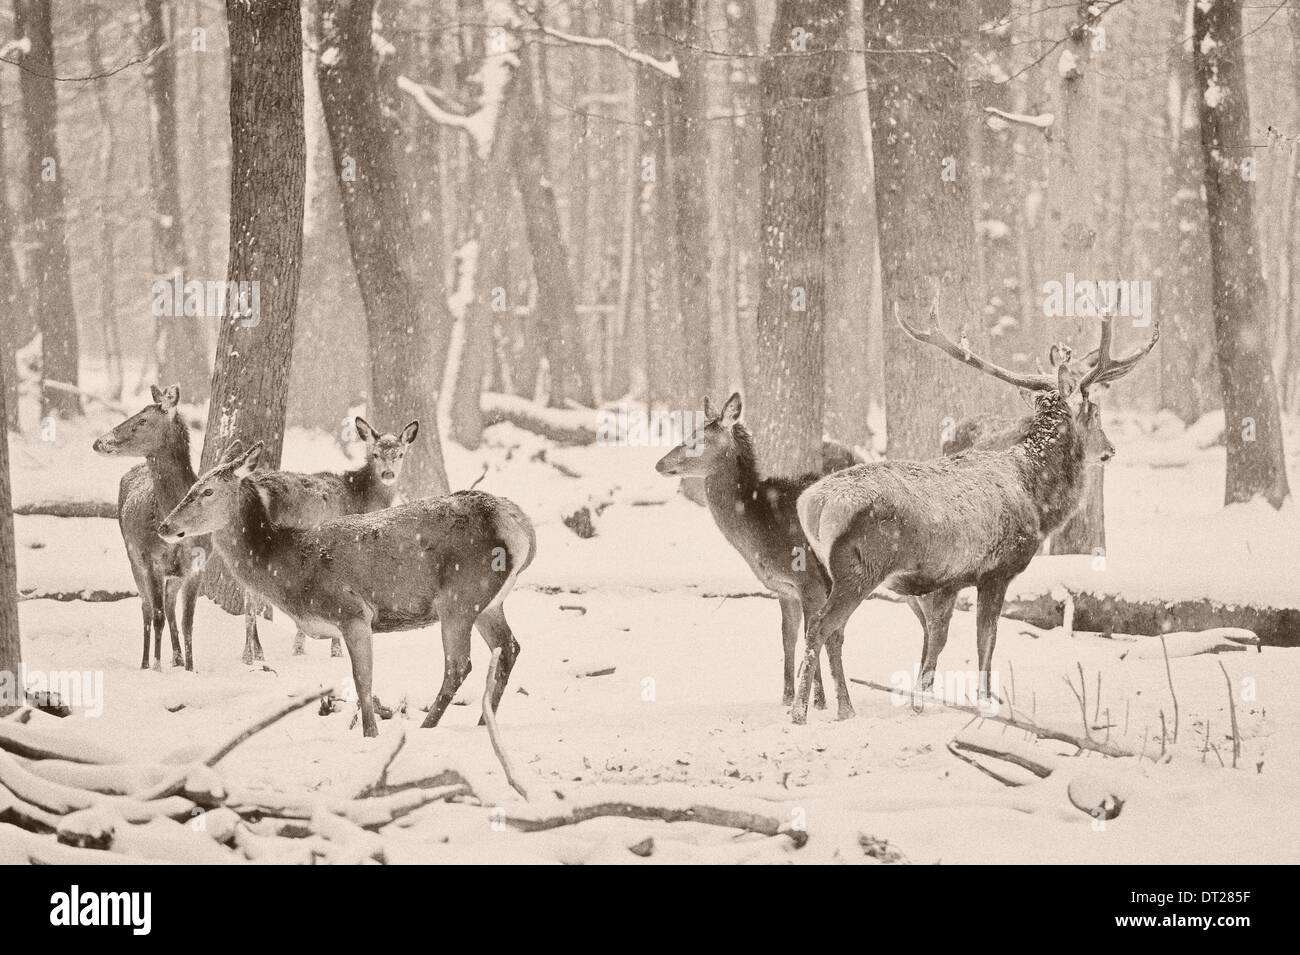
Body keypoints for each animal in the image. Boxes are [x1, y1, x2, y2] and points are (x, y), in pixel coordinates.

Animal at [92, 385, 204, 671]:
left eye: (143, 420)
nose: (99, 442)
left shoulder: (198, 565)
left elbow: (188, 622)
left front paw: (190, 668)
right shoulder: (149, 557)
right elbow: (157, 615)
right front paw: (155, 666)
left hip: (172, 573)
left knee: (169, 603)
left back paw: (177, 658)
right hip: (133, 557)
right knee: (146, 607)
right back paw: (144, 663)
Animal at [158, 442, 536, 738]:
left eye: (207, 491)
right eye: (193, 485)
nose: (164, 526)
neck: (289, 568)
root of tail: (519, 525)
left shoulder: (351, 611)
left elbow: (362, 682)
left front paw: (371, 734)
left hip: (459, 597)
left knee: (459, 665)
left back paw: (428, 727)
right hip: (489, 602)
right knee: (510, 647)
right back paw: (482, 722)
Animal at [243, 417, 420, 658]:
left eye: (400, 454)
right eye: (375, 454)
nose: (388, 474)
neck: (362, 499)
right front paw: (332, 650)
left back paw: (251, 654)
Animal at [655, 393, 864, 718]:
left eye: (698, 438)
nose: (660, 463)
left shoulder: (809, 581)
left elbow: (813, 634)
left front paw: (818, 701)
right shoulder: (785, 589)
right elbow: (788, 636)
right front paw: (788, 697)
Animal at [790, 302, 1157, 724]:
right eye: (1094, 411)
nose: (1110, 450)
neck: (1036, 499)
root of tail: (811, 505)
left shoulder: (942, 583)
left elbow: (937, 644)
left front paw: (930, 699)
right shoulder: (994, 570)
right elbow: (985, 639)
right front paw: (977, 701)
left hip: (826, 569)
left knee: (831, 630)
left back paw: (845, 709)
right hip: (859, 568)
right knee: (820, 627)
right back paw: (800, 712)